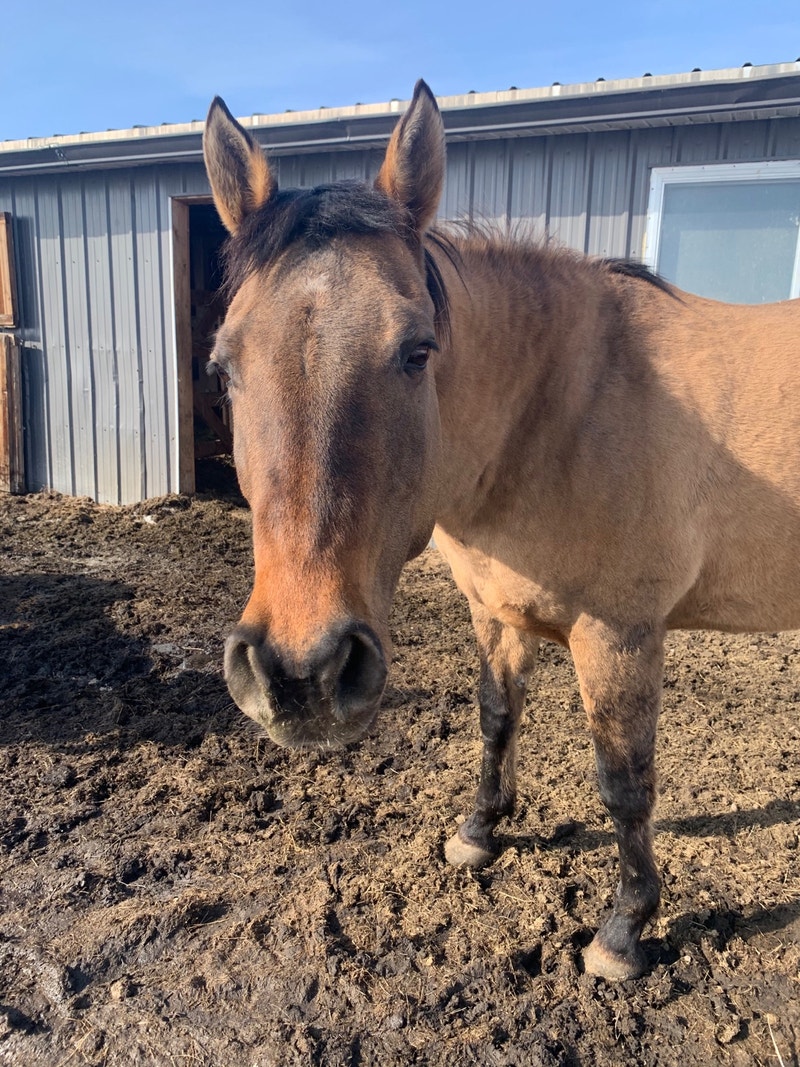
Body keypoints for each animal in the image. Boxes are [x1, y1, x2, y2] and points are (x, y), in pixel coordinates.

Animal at [202, 81, 800, 981]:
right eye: (223, 365)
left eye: (417, 350)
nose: (301, 672)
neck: (561, 404)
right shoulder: (495, 610)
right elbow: (496, 717)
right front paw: (480, 832)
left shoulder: (620, 634)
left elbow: (625, 781)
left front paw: (624, 928)